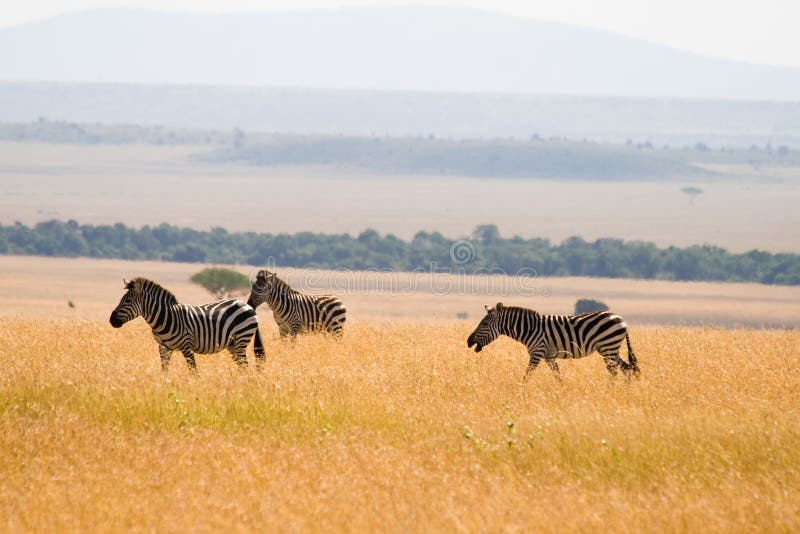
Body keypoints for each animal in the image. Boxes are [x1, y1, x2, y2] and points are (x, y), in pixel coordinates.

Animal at [109, 277, 260, 371]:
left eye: (128, 301)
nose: (111, 320)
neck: (165, 318)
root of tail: (247, 305)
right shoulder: (163, 348)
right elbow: (163, 371)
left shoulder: (187, 346)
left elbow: (194, 371)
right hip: (232, 344)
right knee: (242, 367)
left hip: (242, 339)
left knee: (245, 366)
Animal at [466, 302, 640, 381]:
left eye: (484, 324)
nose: (468, 341)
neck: (530, 329)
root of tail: (621, 319)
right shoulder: (548, 356)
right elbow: (558, 376)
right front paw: (561, 392)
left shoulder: (537, 353)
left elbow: (526, 376)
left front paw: (520, 392)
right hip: (611, 349)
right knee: (627, 369)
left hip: (607, 348)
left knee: (614, 372)